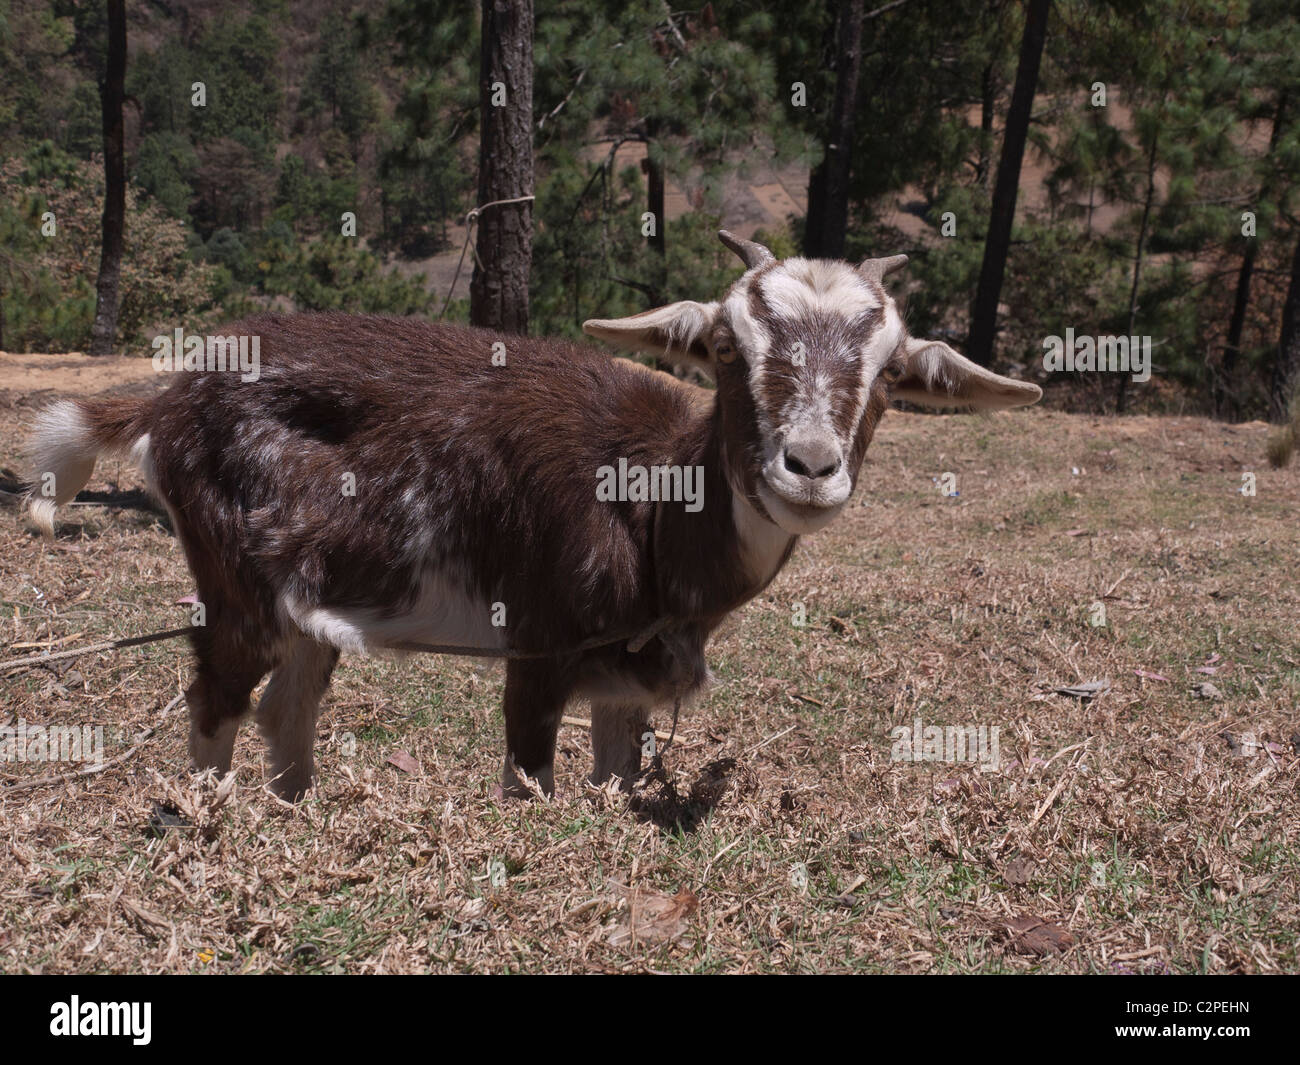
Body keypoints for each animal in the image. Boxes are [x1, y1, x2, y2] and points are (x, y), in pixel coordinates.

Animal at [24, 232, 1040, 801]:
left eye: (892, 373)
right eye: (723, 348)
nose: (811, 468)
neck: (651, 500)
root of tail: (168, 394)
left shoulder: (627, 677)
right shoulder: (539, 644)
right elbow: (526, 783)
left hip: (313, 594)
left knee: (288, 704)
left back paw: (293, 810)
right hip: (234, 579)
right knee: (217, 695)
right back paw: (211, 813)